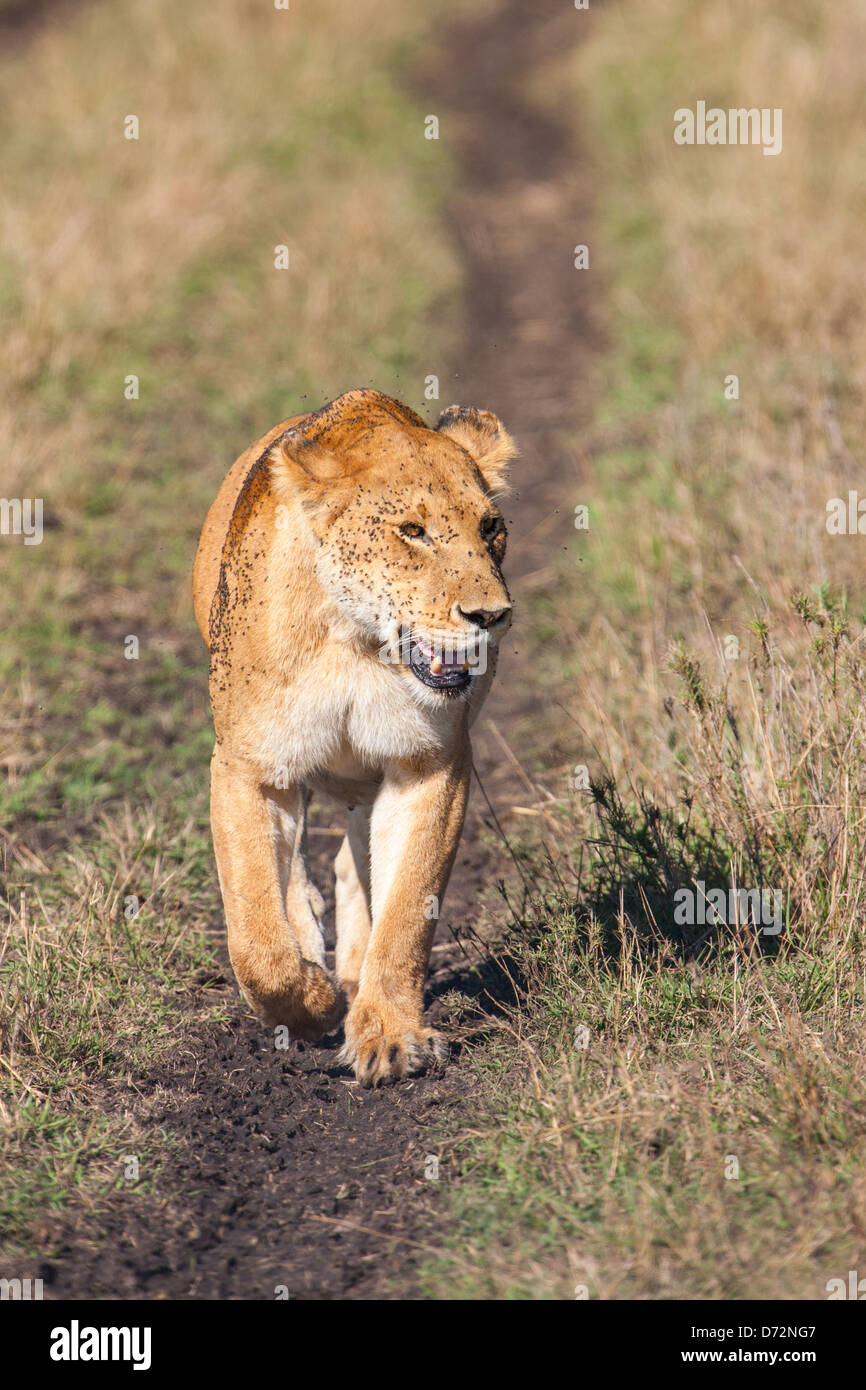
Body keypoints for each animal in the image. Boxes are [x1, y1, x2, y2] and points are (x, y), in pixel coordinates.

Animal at [192, 388, 515, 1085]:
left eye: (490, 528)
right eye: (412, 532)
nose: (491, 616)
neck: (357, 643)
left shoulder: (429, 765)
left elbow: (407, 910)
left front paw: (387, 1035)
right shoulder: (246, 767)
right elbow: (255, 933)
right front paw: (309, 1004)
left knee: (355, 861)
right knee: (289, 876)